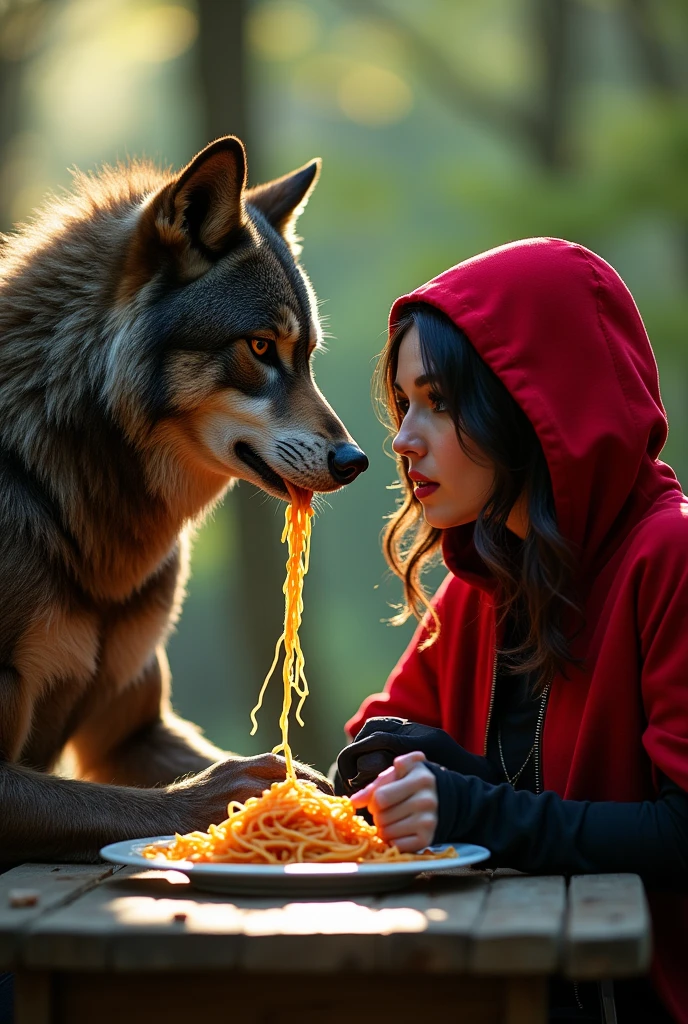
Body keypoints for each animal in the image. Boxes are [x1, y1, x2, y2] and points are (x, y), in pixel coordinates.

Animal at [0, 136, 367, 862]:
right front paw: (249, 797)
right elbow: (154, 801)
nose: (356, 461)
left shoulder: (135, 732)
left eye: (309, 356)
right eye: (261, 347)